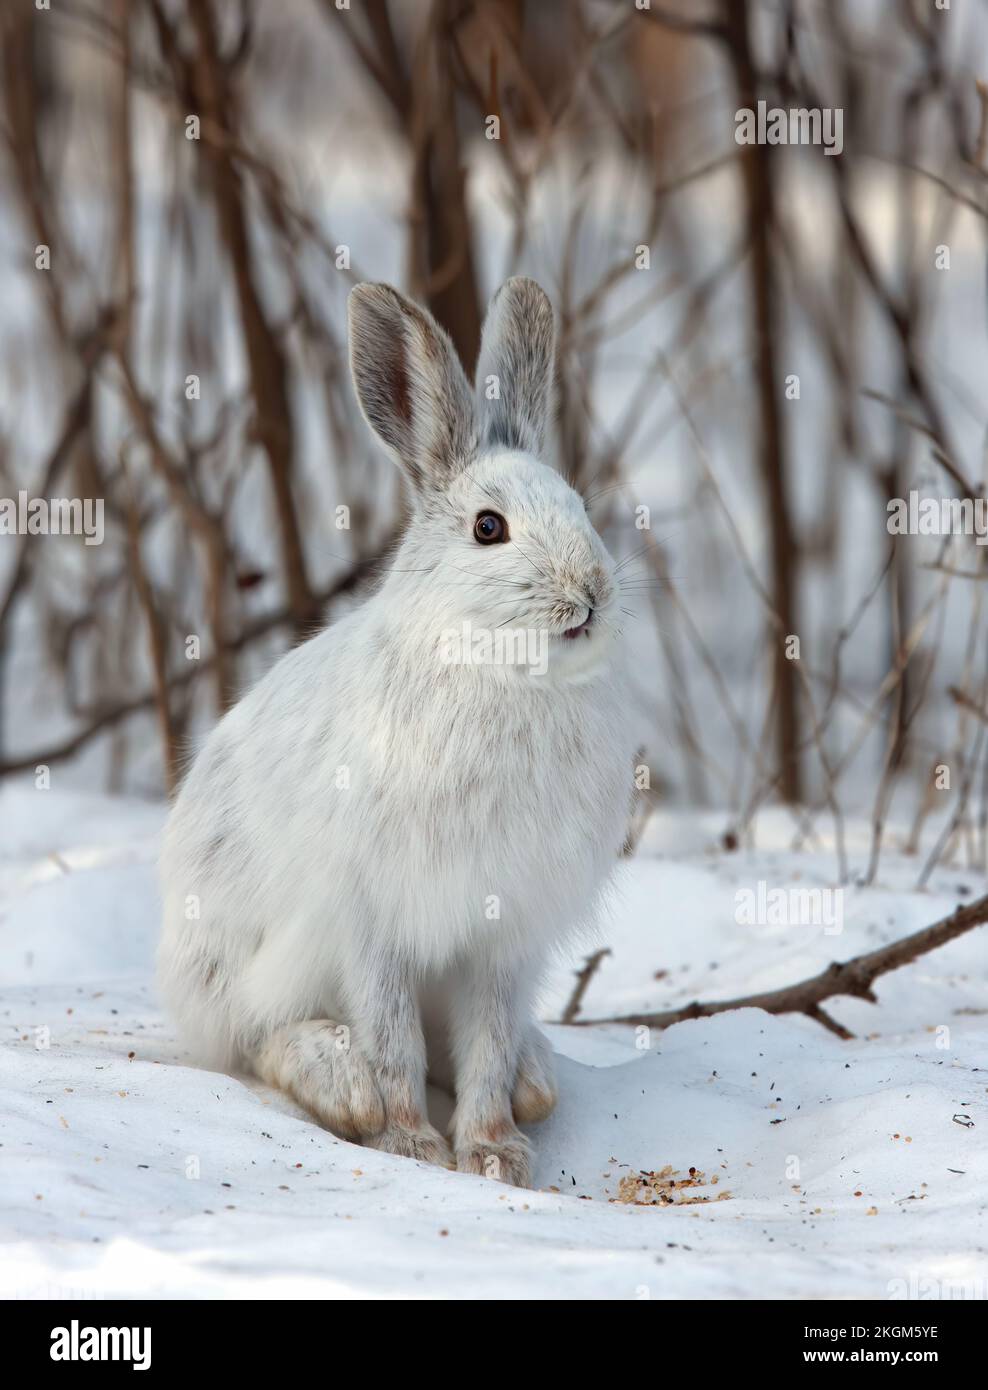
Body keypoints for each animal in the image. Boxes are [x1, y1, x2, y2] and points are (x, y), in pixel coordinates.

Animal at [157, 276, 634, 1188]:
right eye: (489, 527)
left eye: (581, 507)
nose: (590, 593)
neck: (497, 673)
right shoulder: (370, 922)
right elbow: (392, 1042)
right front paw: (410, 1145)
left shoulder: (501, 937)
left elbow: (485, 1046)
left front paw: (493, 1156)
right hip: (255, 968)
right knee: (259, 1038)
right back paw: (341, 1085)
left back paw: (534, 1081)